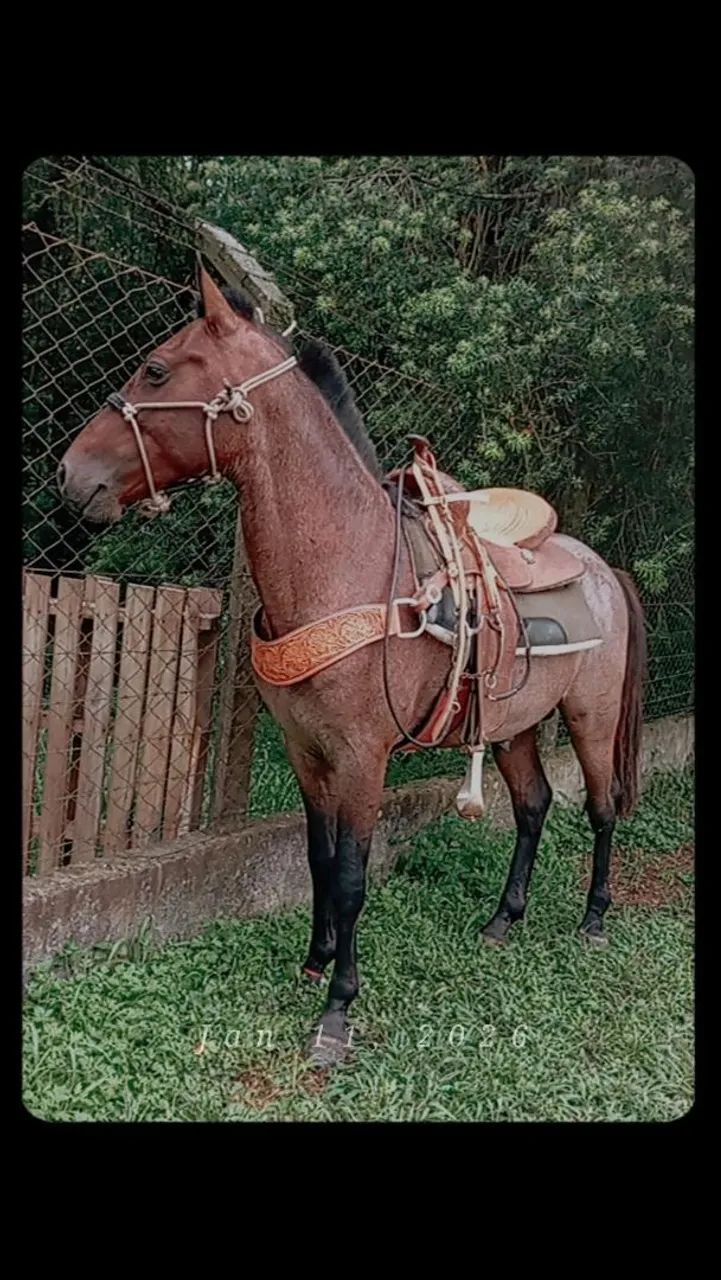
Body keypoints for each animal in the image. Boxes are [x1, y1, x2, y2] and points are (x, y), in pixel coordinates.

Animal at [57, 264, 647, 1067]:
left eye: (154, 369)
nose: (69, 474)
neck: (346, 563)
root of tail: (601, 569)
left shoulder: (364, 757)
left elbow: (351, 877)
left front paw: (337, 1010)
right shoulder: (308, 751)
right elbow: (316, 860)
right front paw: (314, 961)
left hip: (590, 716)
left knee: (601, 807)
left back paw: (592, 920)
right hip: (513, 723)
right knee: (531, 807)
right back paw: (502, 921)